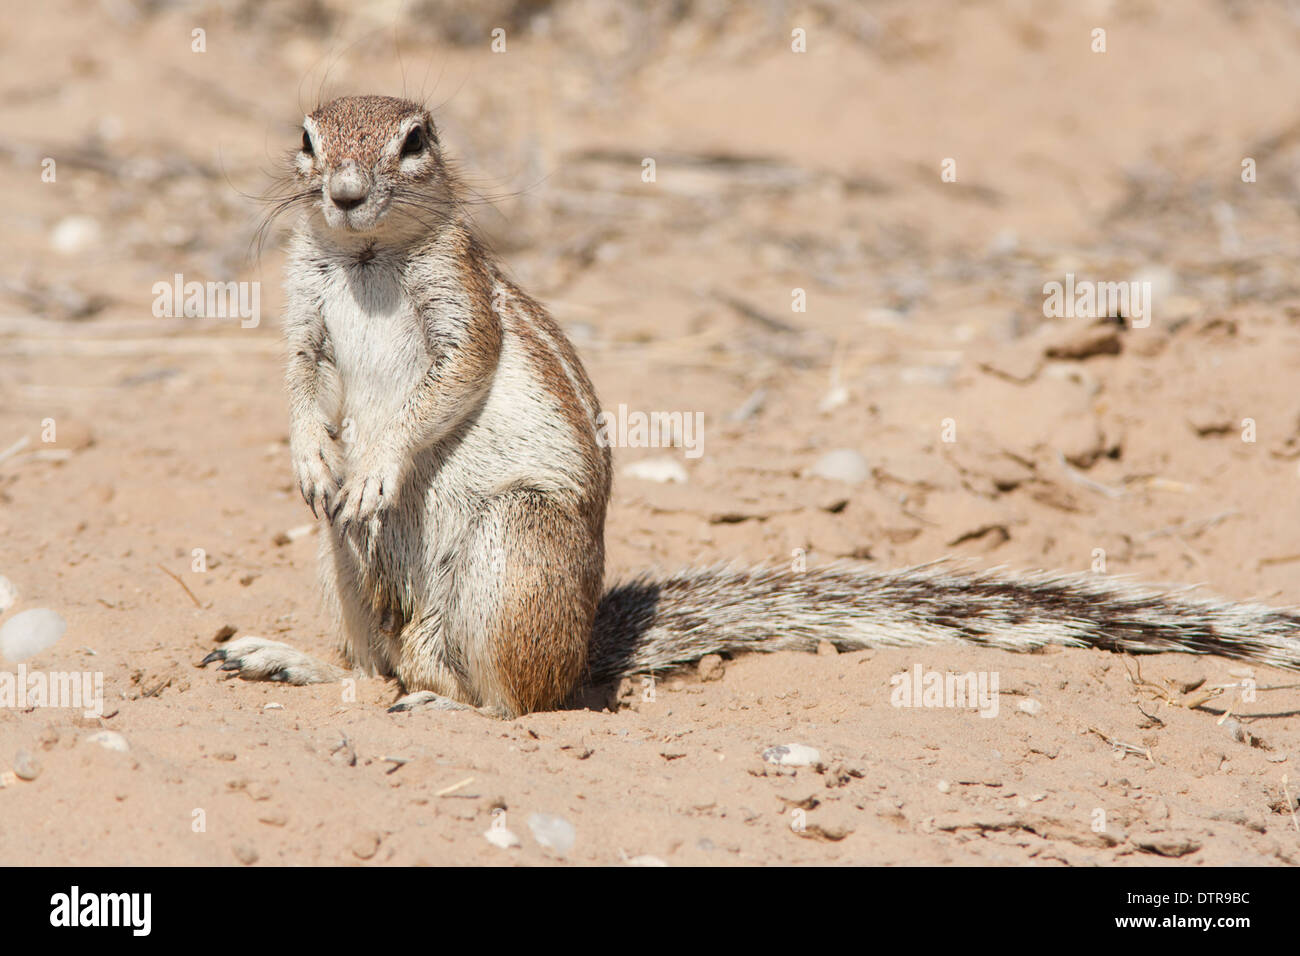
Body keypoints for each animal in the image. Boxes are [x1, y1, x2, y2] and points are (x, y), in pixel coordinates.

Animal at [203, 95, 1300, 717]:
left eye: (416, 141)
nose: (346, 194)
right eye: (305, 138)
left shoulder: (460, 307)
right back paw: (287, 661)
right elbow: (299, 384)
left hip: (516, 548)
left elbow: (449, 381)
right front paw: (315, 459)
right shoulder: (303, 316)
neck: (366, 262)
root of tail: (581, 646)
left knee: (505, 703)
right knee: (384, 665)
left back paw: (448, 706)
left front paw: (377, 462)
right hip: (343, 568)